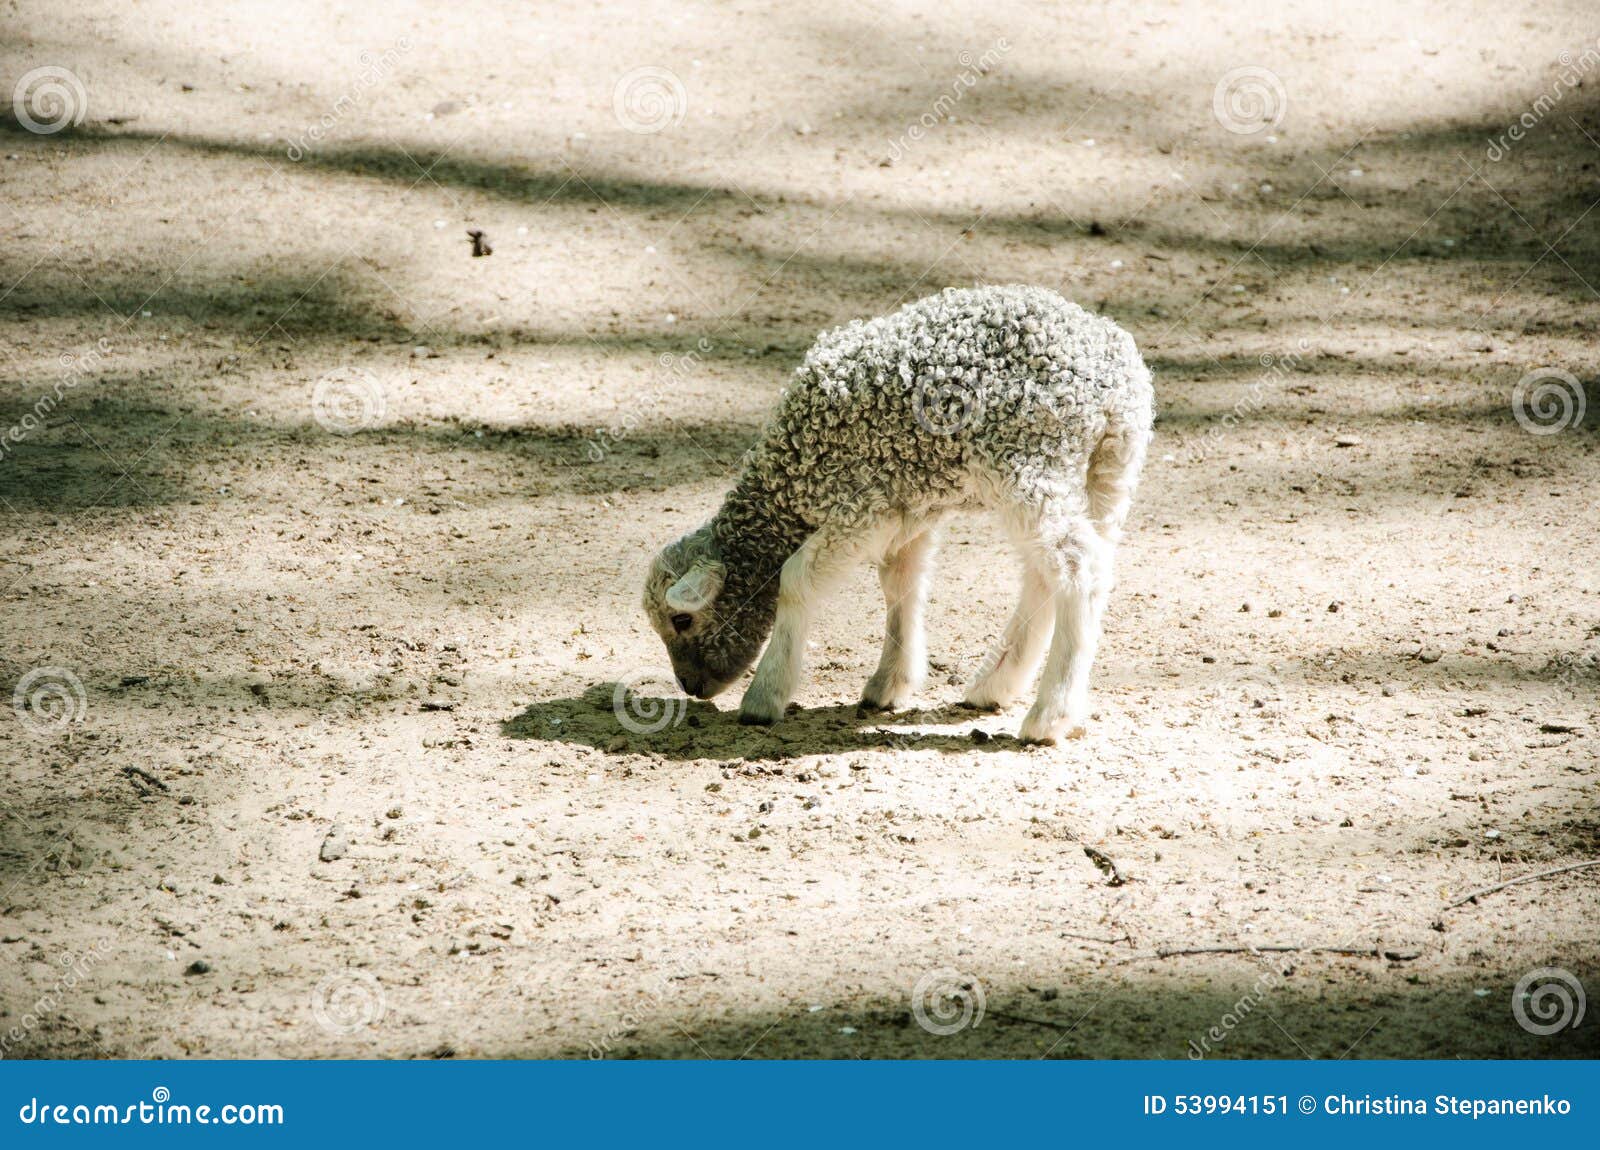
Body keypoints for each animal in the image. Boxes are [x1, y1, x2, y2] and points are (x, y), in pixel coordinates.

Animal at [642, 284, 1153, 744]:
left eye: (682, 620)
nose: (692, 687)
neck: (788, 483)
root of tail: (1115, 370)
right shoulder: (908, 509)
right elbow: (900, 583)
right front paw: (890, 683)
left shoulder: (863, 505)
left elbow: (796, 579)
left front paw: (765, 696)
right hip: (1108, 470)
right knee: (1054, 571)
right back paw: (996, 684)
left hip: (1029, 463)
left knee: (1077, 566)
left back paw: (1050, 716)